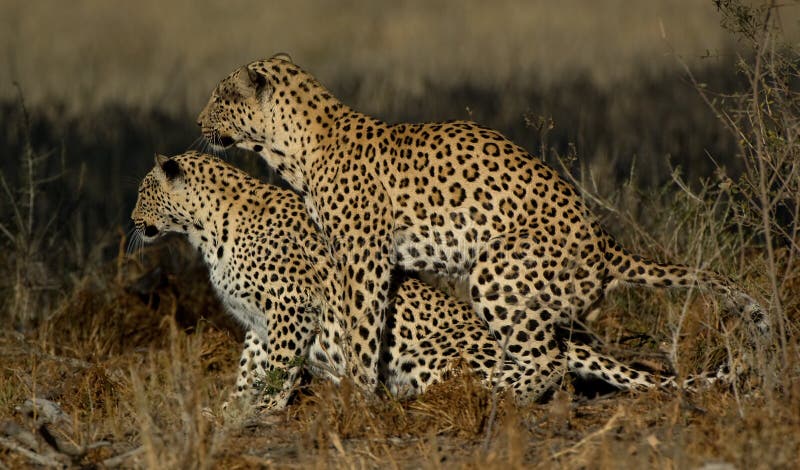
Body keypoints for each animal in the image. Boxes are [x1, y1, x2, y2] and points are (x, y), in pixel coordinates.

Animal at [131, 152, 691, 410]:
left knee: (504, 378)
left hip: (437, 353)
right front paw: (233, 406)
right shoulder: (258, 320)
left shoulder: (291, 306)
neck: (205, 231)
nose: (132, 220)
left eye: (142, 192)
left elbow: (278, 367)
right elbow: (251, 367)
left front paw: (264, 408)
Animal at [197, 54, 767, 399]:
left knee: (545, 359)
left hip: (496, 270)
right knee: (558, 349)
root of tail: (607, 245)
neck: (293, 151)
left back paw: (489, 391)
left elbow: (362, 327)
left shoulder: (365, 256)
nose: (200, 123)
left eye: (221, 98)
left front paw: (358, 393)